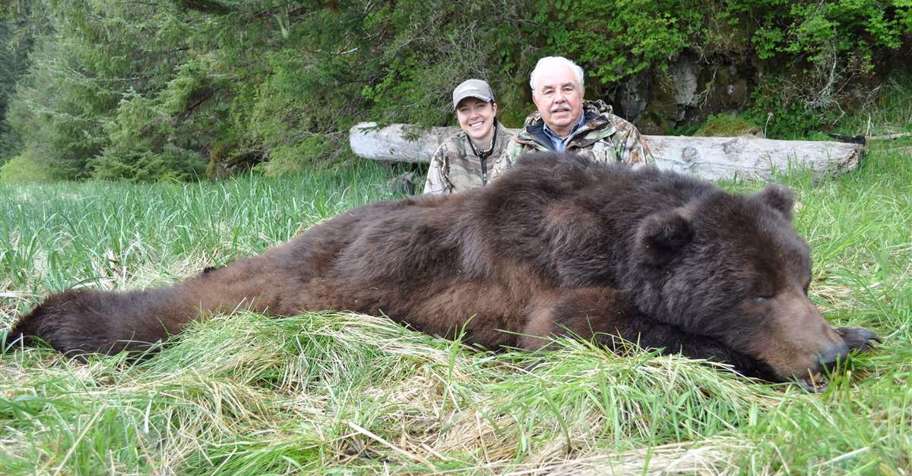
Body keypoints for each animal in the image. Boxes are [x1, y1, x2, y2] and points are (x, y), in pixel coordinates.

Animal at [9, 153, 878, 388]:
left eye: (802, 278)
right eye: (753, 291)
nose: (826, 354)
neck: (611, 234)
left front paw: (861, 331)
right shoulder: (550, 280)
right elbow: (583, 331)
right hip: (296, 287)